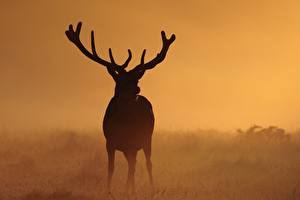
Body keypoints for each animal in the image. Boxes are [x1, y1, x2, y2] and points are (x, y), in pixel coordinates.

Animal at [64, 21, 175, 194]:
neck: (123, 122)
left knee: (147, 164)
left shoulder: (134, 142)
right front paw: (109, 191)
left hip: (147, 138)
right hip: (128, 146)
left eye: (136, 79)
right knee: (133, 164)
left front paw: (129, 192)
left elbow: (133, 169)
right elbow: (111, 168)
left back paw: (149, 188)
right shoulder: (110, 142)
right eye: (121, 79)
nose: (137, 90)